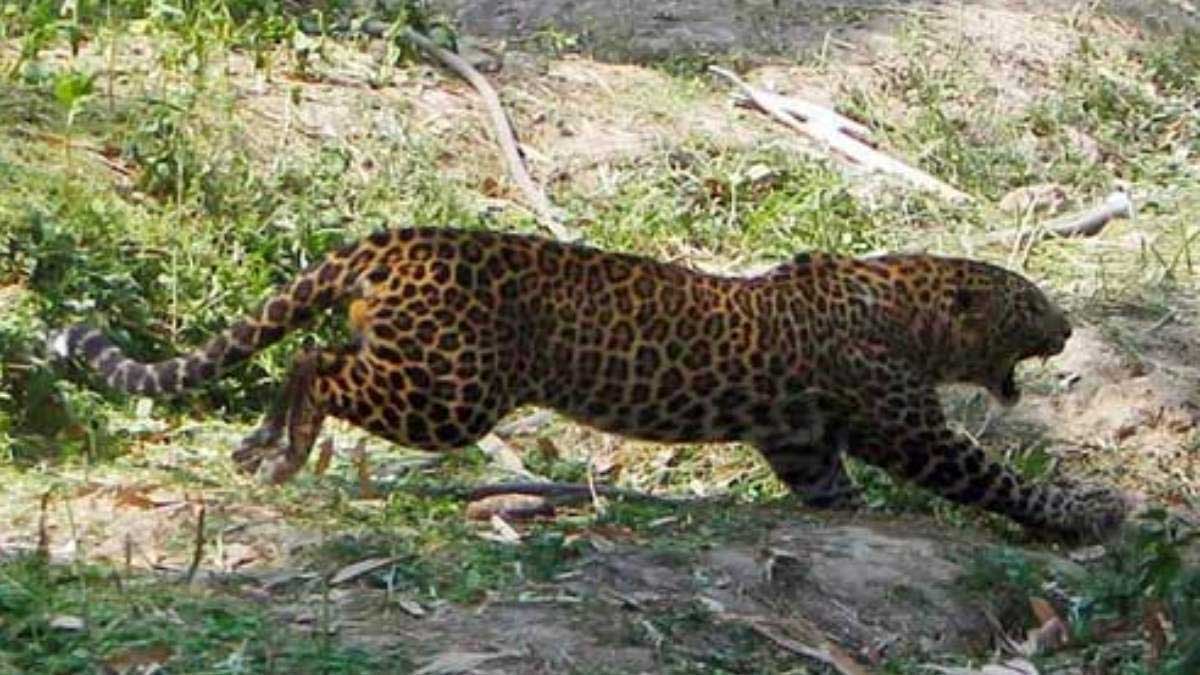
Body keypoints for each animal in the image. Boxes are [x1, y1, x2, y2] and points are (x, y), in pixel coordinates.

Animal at [50, 227, 1127, 539]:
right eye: (1031, 301)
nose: (1070, 326)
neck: (901, 305)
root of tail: (389, 240)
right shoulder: (907, 425)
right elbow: (994, 476)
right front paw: (1091, 515)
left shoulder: (798, 438)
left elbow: (830, 491)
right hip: (449, 393)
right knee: (313, 362)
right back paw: (286, 448)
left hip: (427, 376)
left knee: (305, 356)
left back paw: (261, 443)